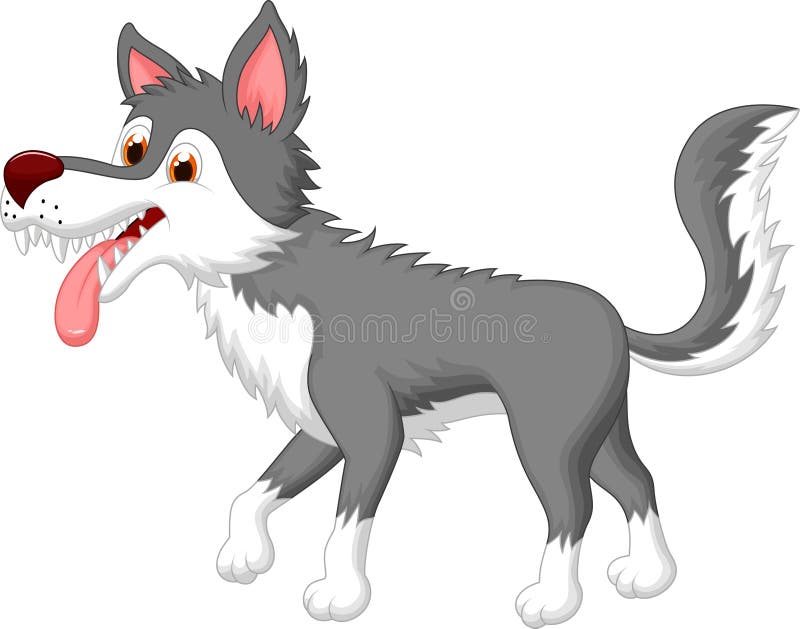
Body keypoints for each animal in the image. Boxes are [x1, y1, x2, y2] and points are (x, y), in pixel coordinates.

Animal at [1, 2, 794, 627]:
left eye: (177, 165)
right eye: (129, 146)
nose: (22, 171)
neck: (267, 270)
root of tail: (610, 311)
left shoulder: (369, 428)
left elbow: (346, 519)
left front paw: (339, 595)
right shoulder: (317, 427)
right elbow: (251, 492)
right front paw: (246, 554)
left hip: (544, 436)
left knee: (573, 510)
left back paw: (551, 600)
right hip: (592, 430)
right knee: (640, 484)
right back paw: (651, 578)